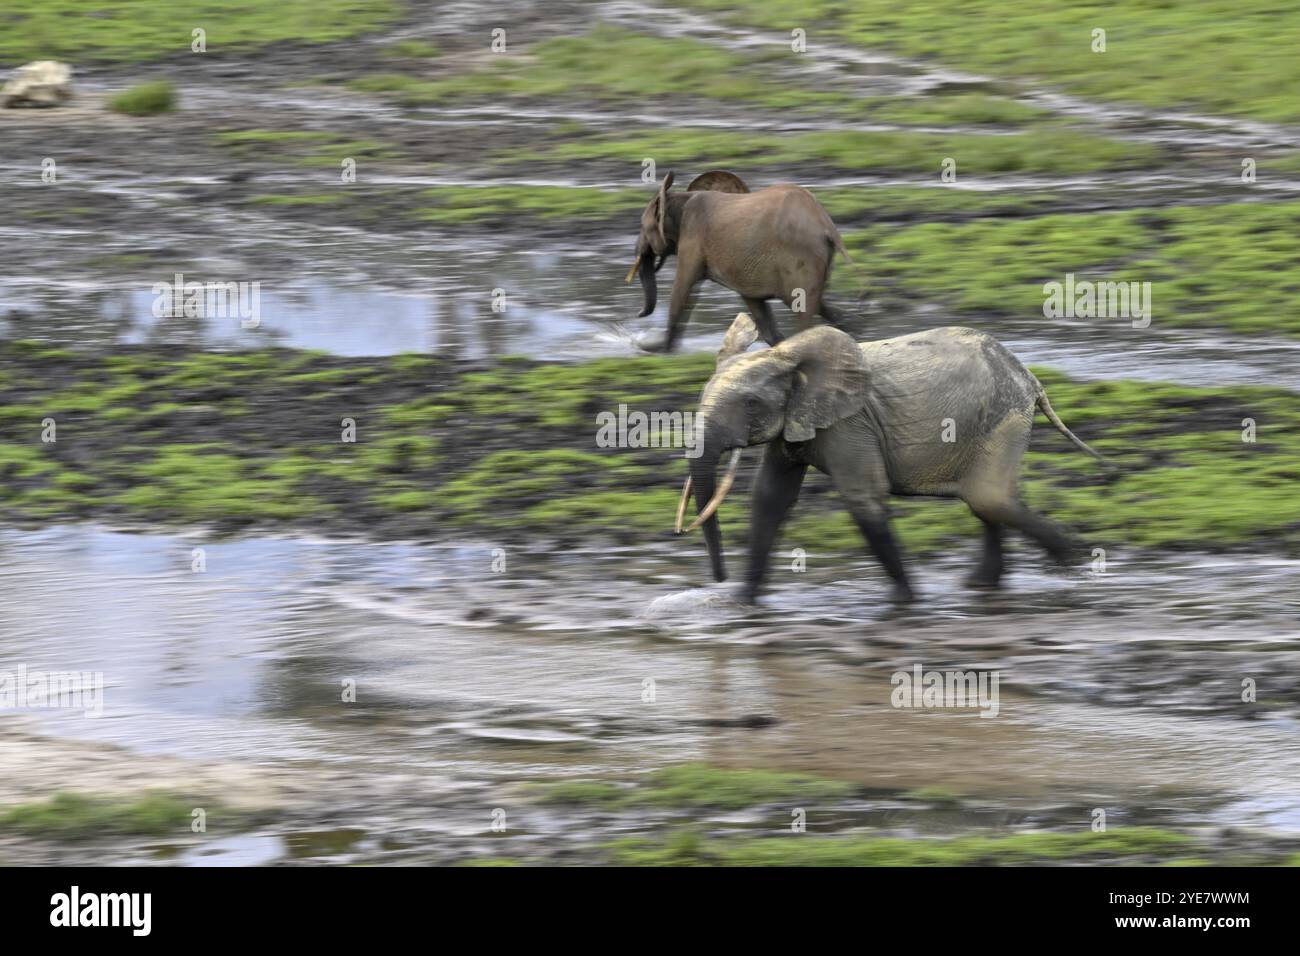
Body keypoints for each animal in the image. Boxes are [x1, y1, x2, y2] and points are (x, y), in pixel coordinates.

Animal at [625, 170, 851, 353]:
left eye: (643, 227)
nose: (638, 316)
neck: (679, 197)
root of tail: (826, 225)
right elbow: (755, 304)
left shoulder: (693, 238)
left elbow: (682, 289)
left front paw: (662, 351)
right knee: (819, 303)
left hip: (800, 258)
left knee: (801, 306)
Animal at [673, 314, 1109, 604]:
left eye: (750, 403)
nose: (717, 582)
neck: (786, 356)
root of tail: (1029, 377)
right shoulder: (796, 423)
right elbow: (770, 498)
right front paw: (742, 605)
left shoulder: (848, 423)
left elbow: (863, 497)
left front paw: (907, 602)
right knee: (985, 501)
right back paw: (984, 585)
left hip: (1002, 417)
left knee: (989, 498)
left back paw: (1069, 565)